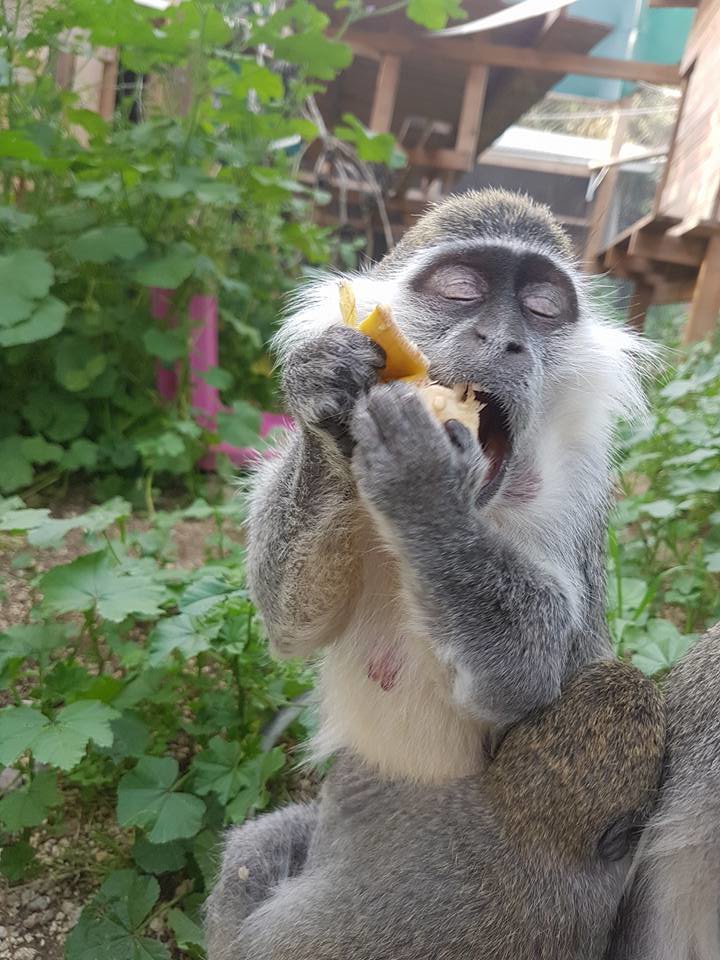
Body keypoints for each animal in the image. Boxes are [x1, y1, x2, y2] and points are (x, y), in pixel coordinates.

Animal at [246, 188, 648, 784]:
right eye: (462, 290)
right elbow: (291, 626)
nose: (501, 339)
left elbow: (531, 667)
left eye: (541, 308)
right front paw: (326, 398)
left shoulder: (577, 481)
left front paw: (425, 489)